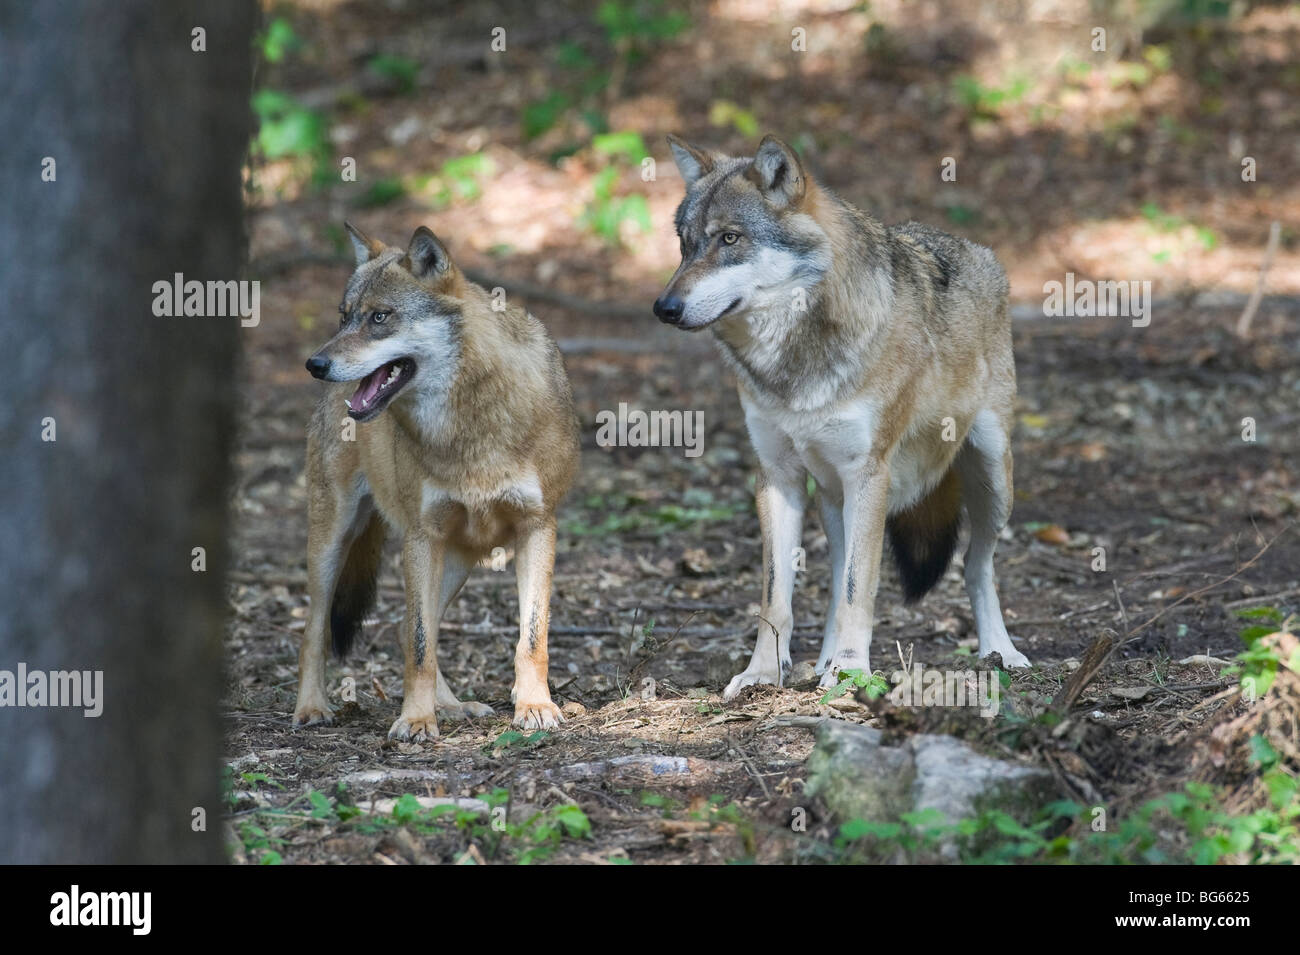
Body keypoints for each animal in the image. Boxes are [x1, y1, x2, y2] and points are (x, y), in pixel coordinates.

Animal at [294, 223, 579, 740]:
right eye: (344, 317)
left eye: (380, 317)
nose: (315, 365)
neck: (472, 426)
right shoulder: (422, 535)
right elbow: (421, 645)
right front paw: (415, 719)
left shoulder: (538, 527)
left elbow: (531, 639)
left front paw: (534, 707)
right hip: (334, 542)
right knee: (317, 630)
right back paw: (312, 708)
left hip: (457, 561)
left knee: (404, 628)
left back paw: (453, 707)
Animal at [655, 135, 1031, 700]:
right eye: (684, 244)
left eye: (729, 238)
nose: (664, 307)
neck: (793, 361)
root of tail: (980, 251)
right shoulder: (778, 477)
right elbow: (776, 599)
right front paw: (764, 673)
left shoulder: (869, 475)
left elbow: (860, 590)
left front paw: (853, 672)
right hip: (833, 500)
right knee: (835, 582)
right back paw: (824, 661)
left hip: (991, 477)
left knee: (974, 565)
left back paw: (1000, 652)